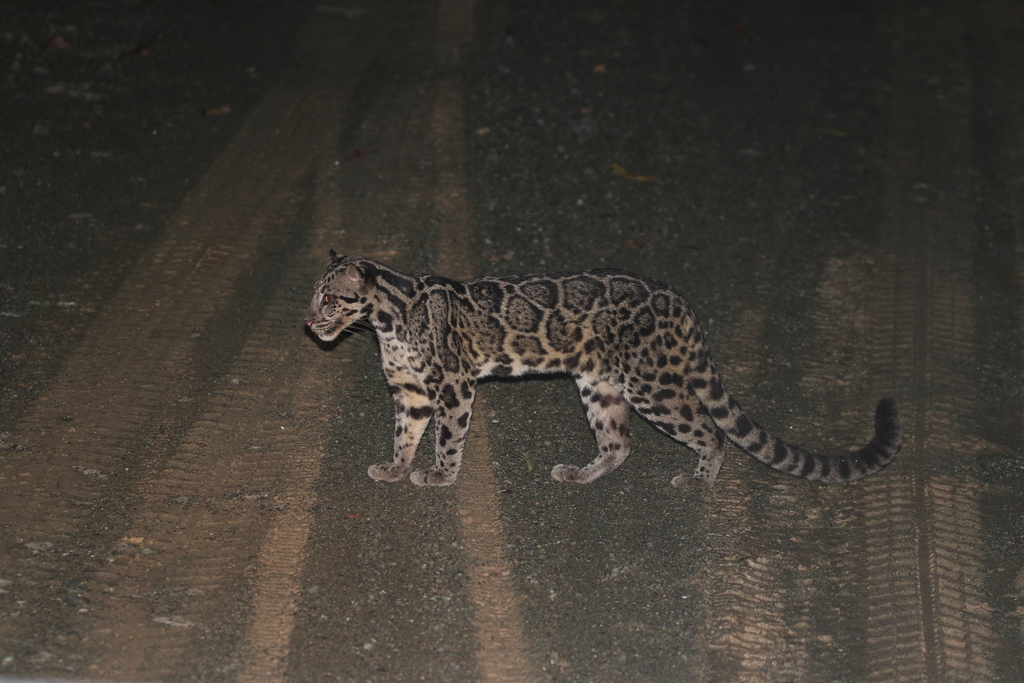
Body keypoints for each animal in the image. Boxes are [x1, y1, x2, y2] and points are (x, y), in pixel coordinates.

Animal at [305, 252, 902, 488]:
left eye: (330, 299)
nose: (308, 322)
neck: (386, 322)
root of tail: (680, 302)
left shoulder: (454, 385)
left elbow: (447, 437)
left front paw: (439, 474)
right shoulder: (411, 392)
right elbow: (405, 433)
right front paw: (396, 466)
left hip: (651, 384)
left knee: (709, 430)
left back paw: (700, 479)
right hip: (600, 385)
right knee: (619, 444)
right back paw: (581, 473)